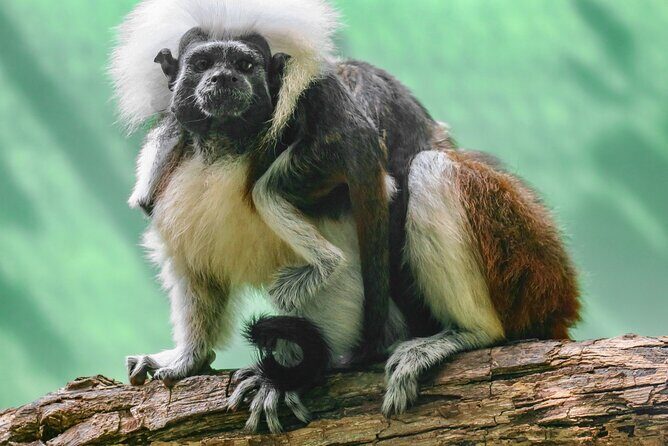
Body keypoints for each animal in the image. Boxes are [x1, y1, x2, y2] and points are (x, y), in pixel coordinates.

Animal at [111, 0, 580, 433]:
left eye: (245, 65)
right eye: (202, 63)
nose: (224, 79)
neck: (229, 150)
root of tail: (558, 296)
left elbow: (341, 277)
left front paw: (282, 378)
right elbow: (195, 267)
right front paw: (187, 359)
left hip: (520, 263)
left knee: (429, 169)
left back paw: (468, 334)